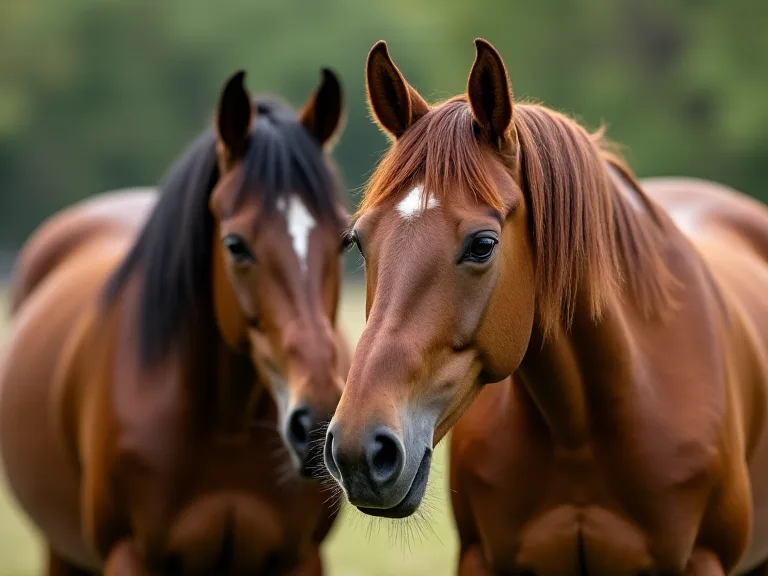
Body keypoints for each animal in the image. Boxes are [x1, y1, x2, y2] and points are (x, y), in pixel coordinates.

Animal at [0, 68, 351, 575]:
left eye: (344, 240)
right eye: (235, 245)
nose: (319, 416)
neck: (226, 424)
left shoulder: (302, 558)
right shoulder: (128, 555)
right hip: (61, 551)